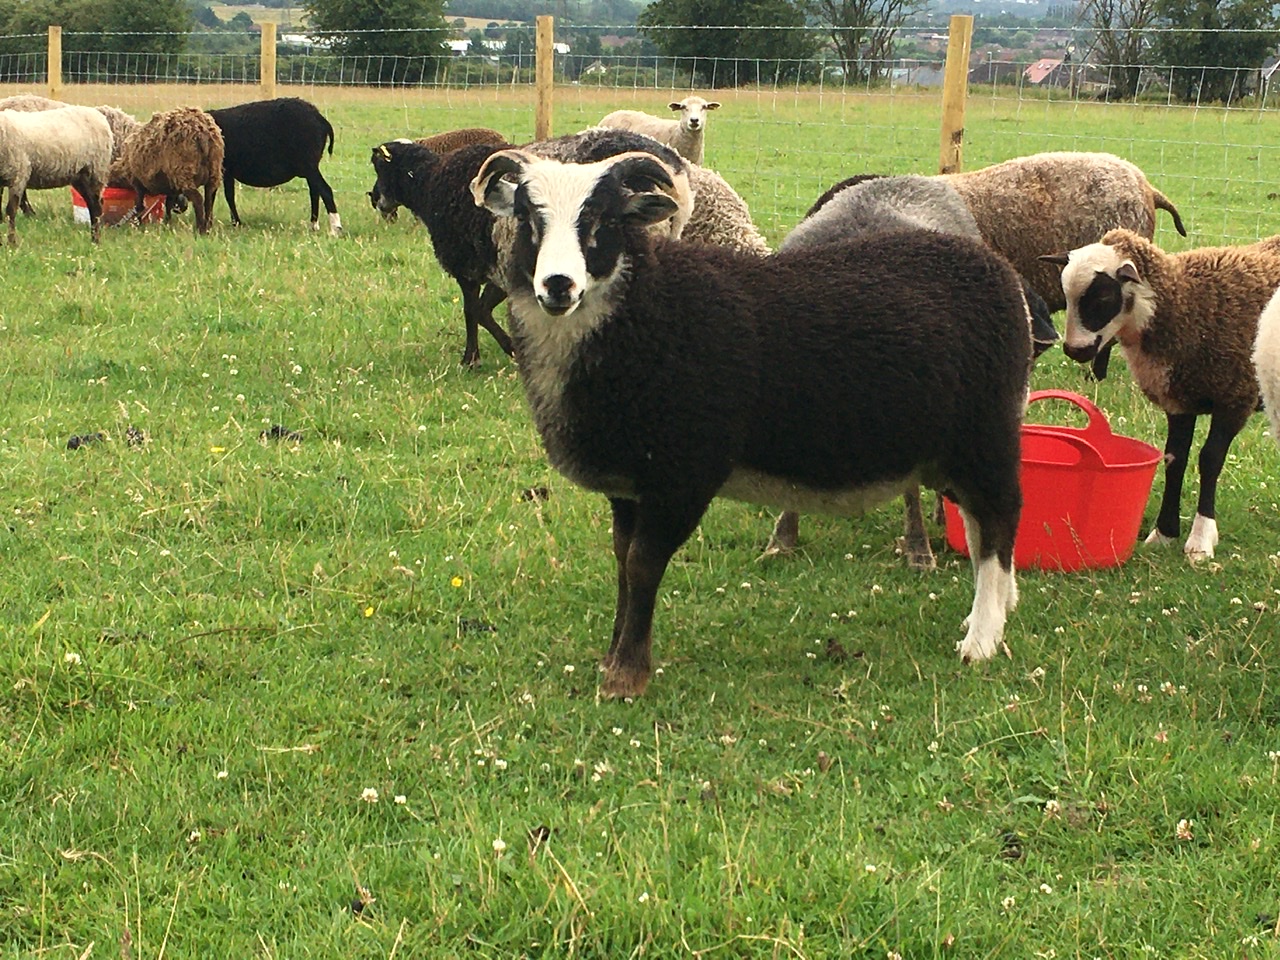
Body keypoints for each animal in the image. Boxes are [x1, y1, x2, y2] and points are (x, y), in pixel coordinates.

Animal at [0, 105, 112, 244]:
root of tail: (99, 115)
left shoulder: (18, 176)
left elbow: (11, 211)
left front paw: (12, 243)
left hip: (95, 171)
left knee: (96, 207)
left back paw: (95, 241)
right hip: (79, 176)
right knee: (91, 203)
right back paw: (93, 239)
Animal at [111, 106, 223, 234]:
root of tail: (203, 133)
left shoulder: (137, 183)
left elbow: (139, 206)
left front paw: (139, 224)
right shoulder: (171, 187)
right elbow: (168, 204)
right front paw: (167, 223)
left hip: (184, 173)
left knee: (198, 200)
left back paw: (201, 230)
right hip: (213, 173)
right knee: (209, 201)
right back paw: (208, 227)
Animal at [206, 97, 340, 235]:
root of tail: (320, 118)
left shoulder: (222, 169)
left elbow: (217, 195)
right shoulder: (228, 172)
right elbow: (229, 195)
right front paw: (235, 223)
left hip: (308, 163)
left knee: (325, 190)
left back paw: (335, 229)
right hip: (310, 165)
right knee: (315, 191)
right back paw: (314, 225)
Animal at [1042, 228, 1280, 560]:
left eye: (1103, 296)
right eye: (1067, 296)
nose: (1075, 351)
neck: (1187, 303)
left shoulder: (1234, 397)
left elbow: (1209, 460)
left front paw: (1200, 540)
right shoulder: (1179, 402)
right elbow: (1174, 460)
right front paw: (1164, 533)